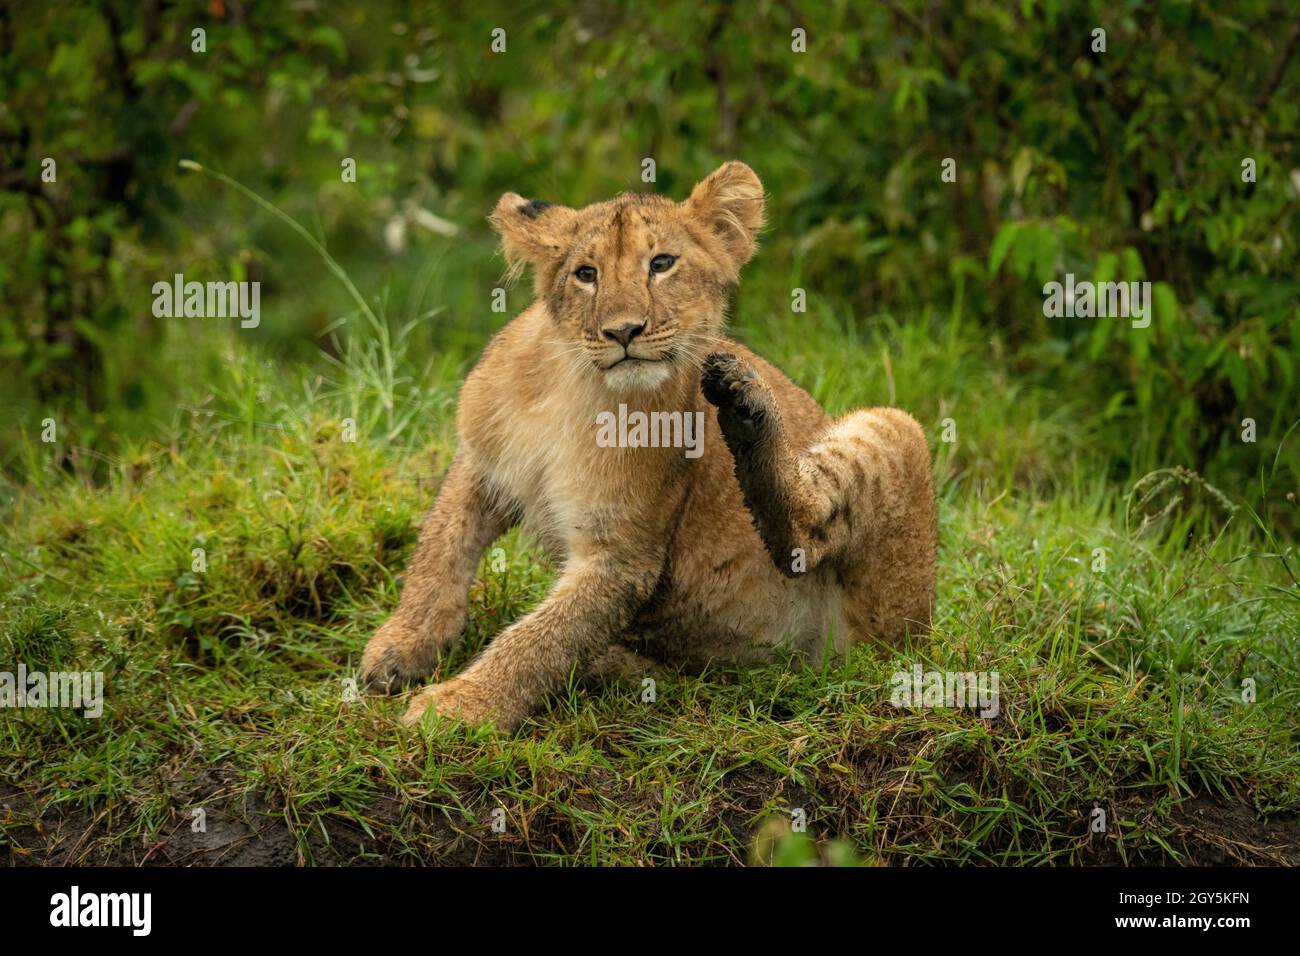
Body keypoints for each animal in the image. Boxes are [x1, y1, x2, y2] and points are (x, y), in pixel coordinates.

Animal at [360, 161, 936, 731]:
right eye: (586, 274)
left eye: (661, 264)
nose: (623, 331)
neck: (576, 388)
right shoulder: (479, 463)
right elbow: (439, 549)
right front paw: (399, 647)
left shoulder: (622, 553)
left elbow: (543, 638)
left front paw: (460, 705)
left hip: (897, 452)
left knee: (804, 535)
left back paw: (745, 405)